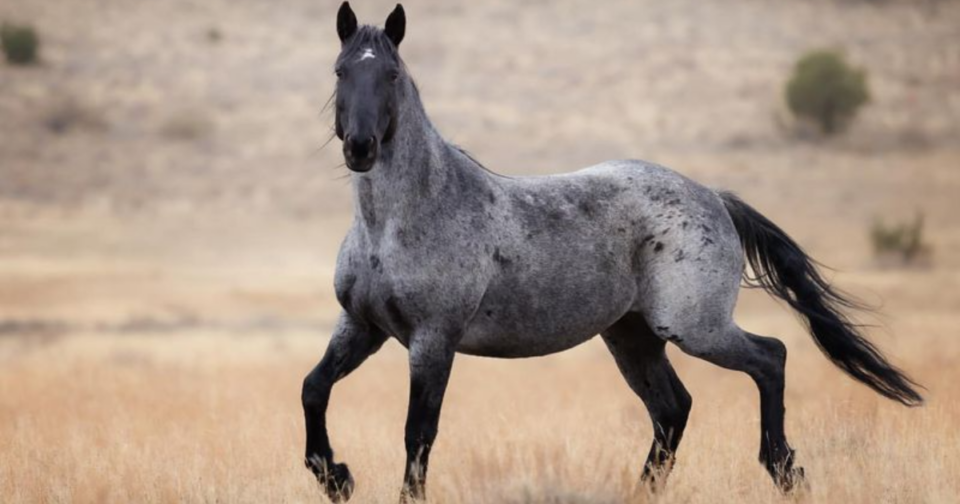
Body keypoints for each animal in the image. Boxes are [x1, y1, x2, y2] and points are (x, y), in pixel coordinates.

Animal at [301, 3, 923, 501]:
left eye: (391, 73)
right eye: (340, 71)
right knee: (673, 409)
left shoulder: (433, 340)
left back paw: (783, 468)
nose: (360, 147)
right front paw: (336, 476)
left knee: (770, 359)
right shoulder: (362, 327)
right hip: (633, 335)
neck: (398, 222)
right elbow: (314, 389)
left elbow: (418, 431)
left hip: (692, 328)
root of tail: (713, 197)